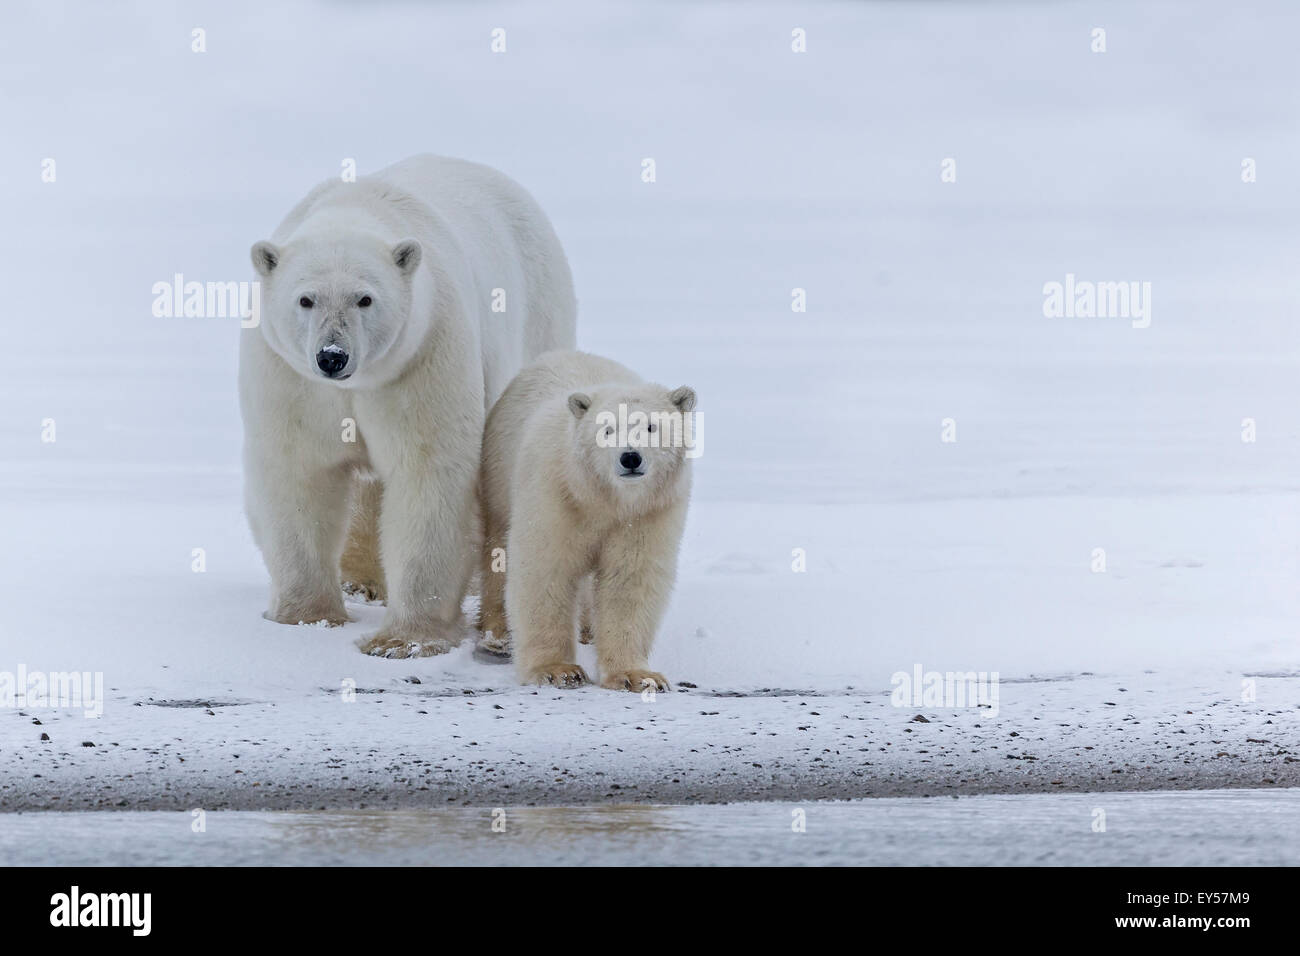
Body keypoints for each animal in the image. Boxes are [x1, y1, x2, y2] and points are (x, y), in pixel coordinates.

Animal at [240, 155, 576, 658]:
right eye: (305, 299)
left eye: (365, 298)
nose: (332, 356)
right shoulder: (289, 375)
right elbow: (298, 471)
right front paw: (306, 615)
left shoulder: (423, 353)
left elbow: (428, 473)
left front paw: (404, 639)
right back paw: (361, 581)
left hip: (539, 312)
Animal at [477, 350, 698, 691]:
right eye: (607, 430)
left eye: (651, 426)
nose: (630, 457)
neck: (604, 497)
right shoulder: (556, 492)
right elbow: (544, 568)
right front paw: (556, 670)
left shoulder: (650, 510)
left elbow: (630, 577)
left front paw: (637, 675)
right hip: (499, 469)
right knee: (498, 546)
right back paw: (498, 635)